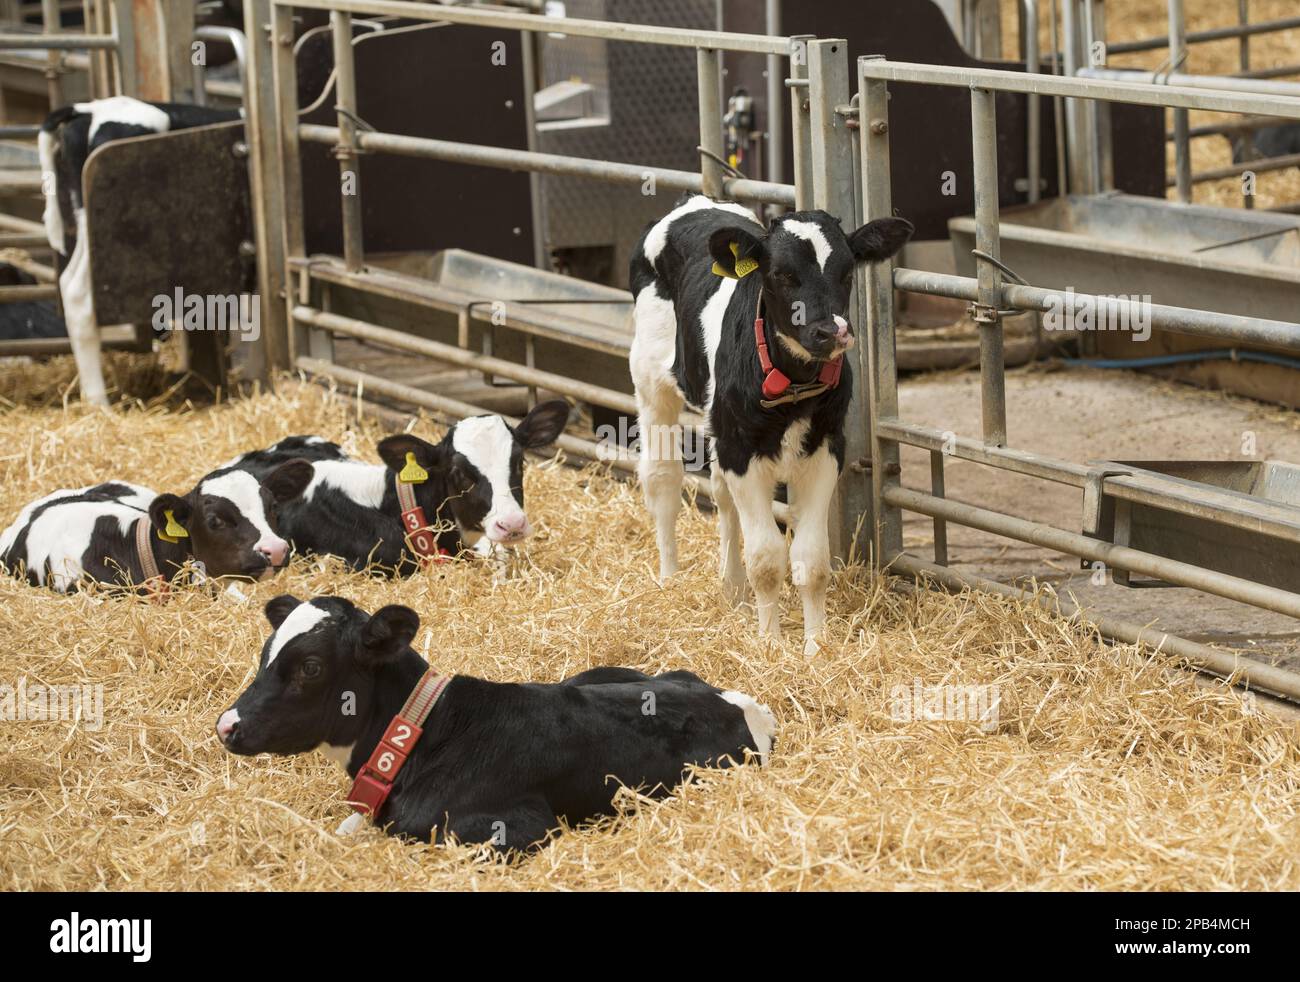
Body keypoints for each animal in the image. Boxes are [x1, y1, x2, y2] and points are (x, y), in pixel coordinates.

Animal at [629, 194, 912, 653]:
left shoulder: (825, 449)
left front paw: (815, 648)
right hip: (652, 382)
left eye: (847, 272)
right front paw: (771, 644)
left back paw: (734, 593)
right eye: (781, 274)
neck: (793, 382)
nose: (830, 332)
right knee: (663, 478)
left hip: (720, 425)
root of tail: (696, 202)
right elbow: (765, 558)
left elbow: (811, 559)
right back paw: (670, 579)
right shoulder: (744, 454)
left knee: (720, 493)